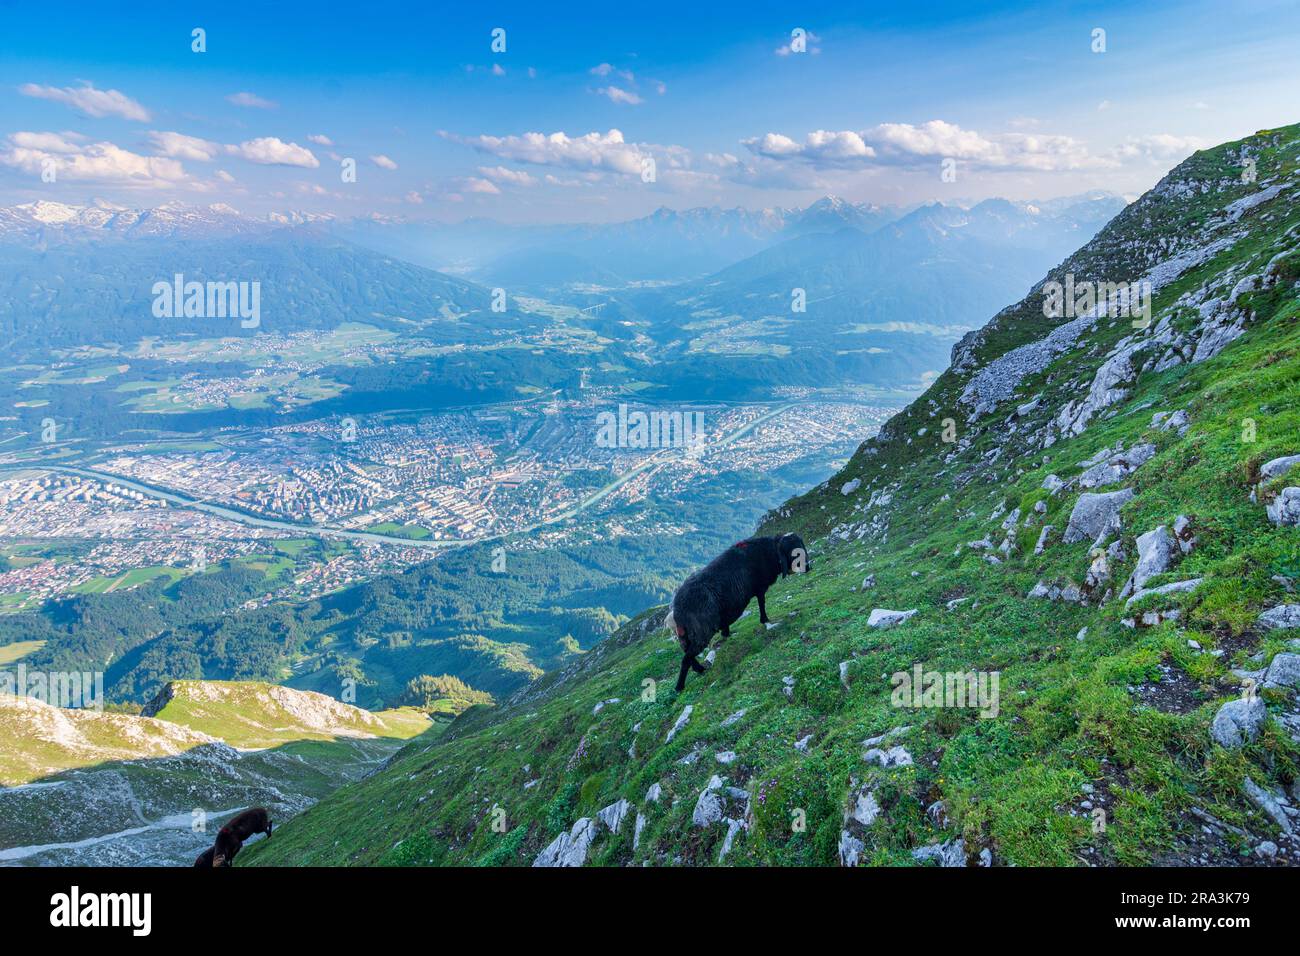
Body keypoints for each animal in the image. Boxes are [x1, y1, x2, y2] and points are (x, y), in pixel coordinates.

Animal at [666, 533, 809, 692]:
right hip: (702, 632)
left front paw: (727, 634)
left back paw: (699, 669)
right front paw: (765, 620)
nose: (808, 567)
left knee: (687, 654)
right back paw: (680, 686)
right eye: (794, 552)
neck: (769, 552)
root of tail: (678, 609)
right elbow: (762, 603)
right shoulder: (760, 587)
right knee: (686, 659)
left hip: (686, 636)